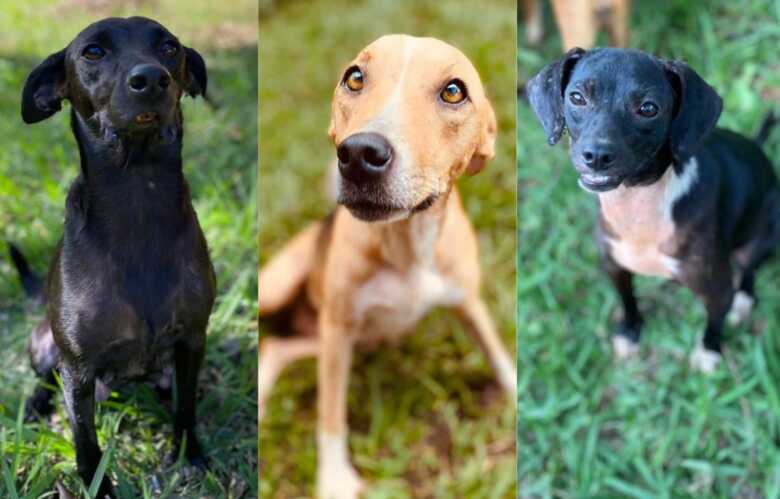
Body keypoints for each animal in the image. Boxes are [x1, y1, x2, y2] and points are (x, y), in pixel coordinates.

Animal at [15, 16, 215, 499]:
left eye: (169, 48)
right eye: (93, 52)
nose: (151, 80)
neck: (137, 195)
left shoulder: (191, 340)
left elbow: (185, 408)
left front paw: (189, 456)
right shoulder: (78, 369)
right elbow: (85, 440)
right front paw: (98, 487)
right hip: (43, 344)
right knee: (41, 379)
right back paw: (33, 407)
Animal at [258, 35, 516, 499]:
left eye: (455, 91)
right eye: (355, 78)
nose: (360, 154)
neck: (405, 244)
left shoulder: (468, 302)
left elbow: (500, 356)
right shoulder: (338, 328)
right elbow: (330, 414)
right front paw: (334, 479)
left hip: (330, 340)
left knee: (275, 347)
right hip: (287, 295)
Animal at [528, 48, 776, 374]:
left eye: (648, 108)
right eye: (577, 97)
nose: (596, 156)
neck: (637, 206)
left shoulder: (718, 288)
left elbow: (714, 322)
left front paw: (709, 352)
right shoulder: (614, 264)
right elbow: (628, 299)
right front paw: (630, 332)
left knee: (749, 267)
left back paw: (744, 299)